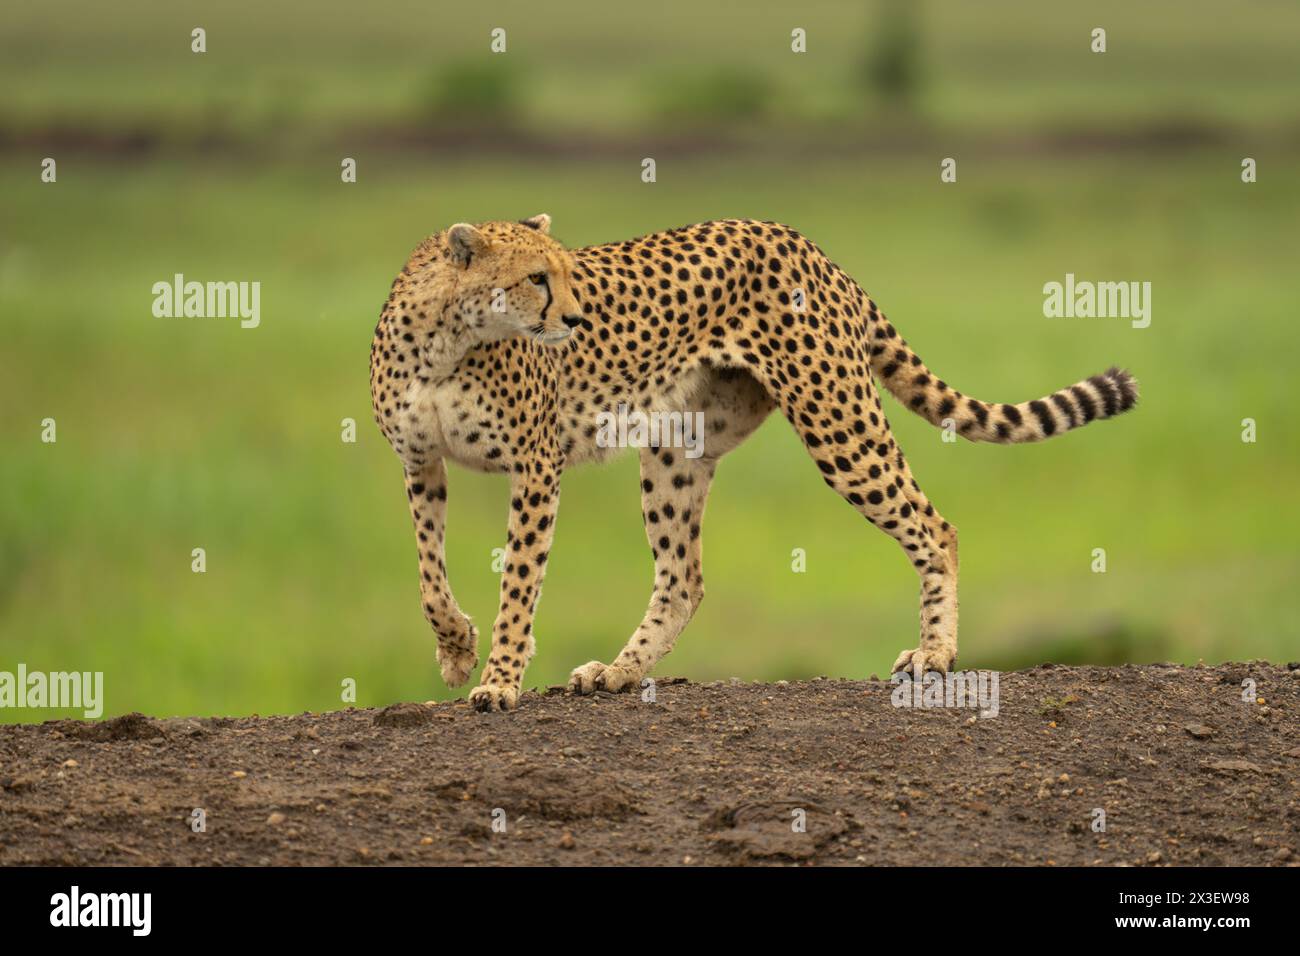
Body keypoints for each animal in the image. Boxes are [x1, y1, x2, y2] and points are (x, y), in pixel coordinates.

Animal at [369, 215, 1138, 711]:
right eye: (536, 277)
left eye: (569, 272)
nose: (579, 319)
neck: (447, 341)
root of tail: (803, 241)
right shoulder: (419, 462)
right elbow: (429, 576)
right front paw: (456, 649)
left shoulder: (535, 465)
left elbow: (520, 582)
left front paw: (499, 678)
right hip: (677, 445)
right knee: (683, 578)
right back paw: (620, 671)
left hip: (835, 420)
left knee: (934, 526)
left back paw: (936, 654)